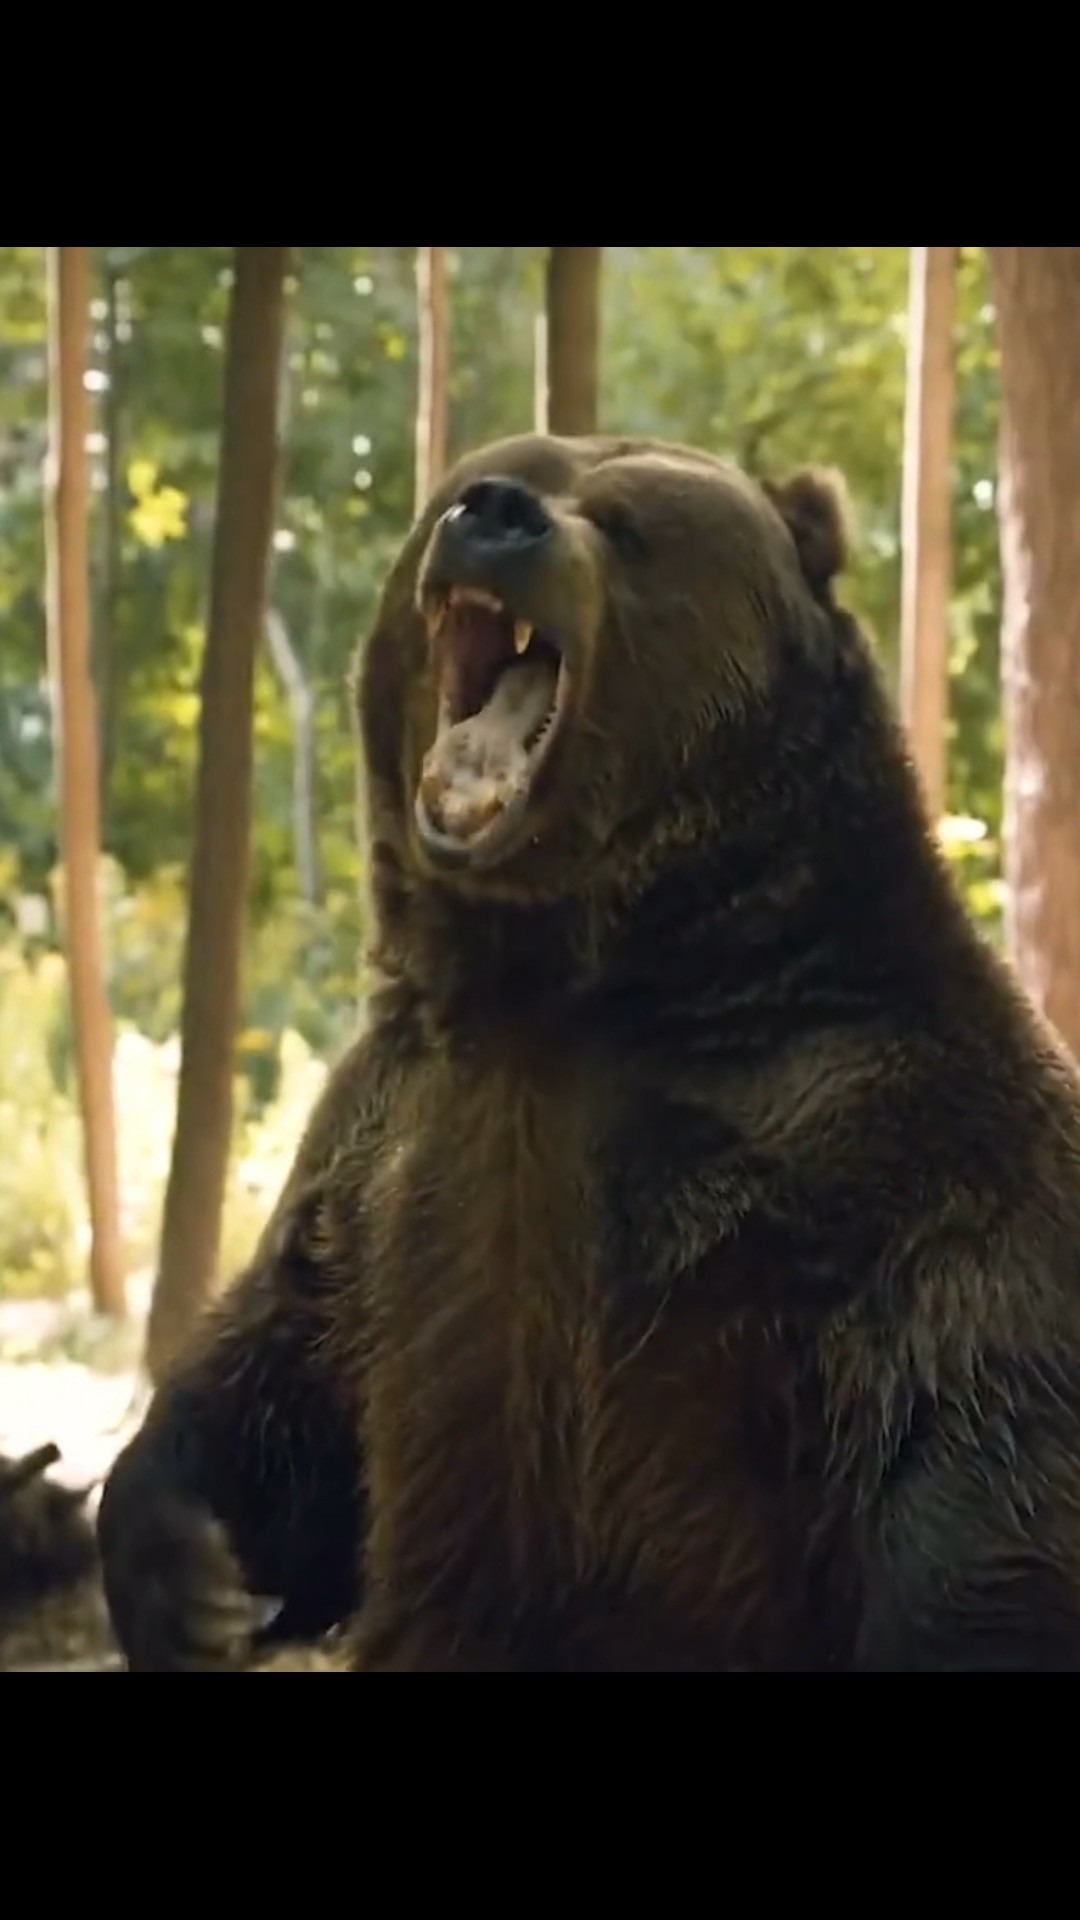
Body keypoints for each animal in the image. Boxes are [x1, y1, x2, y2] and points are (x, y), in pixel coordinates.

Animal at [98, 431, 1080, 1672]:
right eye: (484, 473)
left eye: (626, 522)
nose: (495, 511)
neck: (565, 982)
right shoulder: (388, 1138)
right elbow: (282, 1363)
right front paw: (195, 1577)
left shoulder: (889, 1147)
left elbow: (970, 1450)